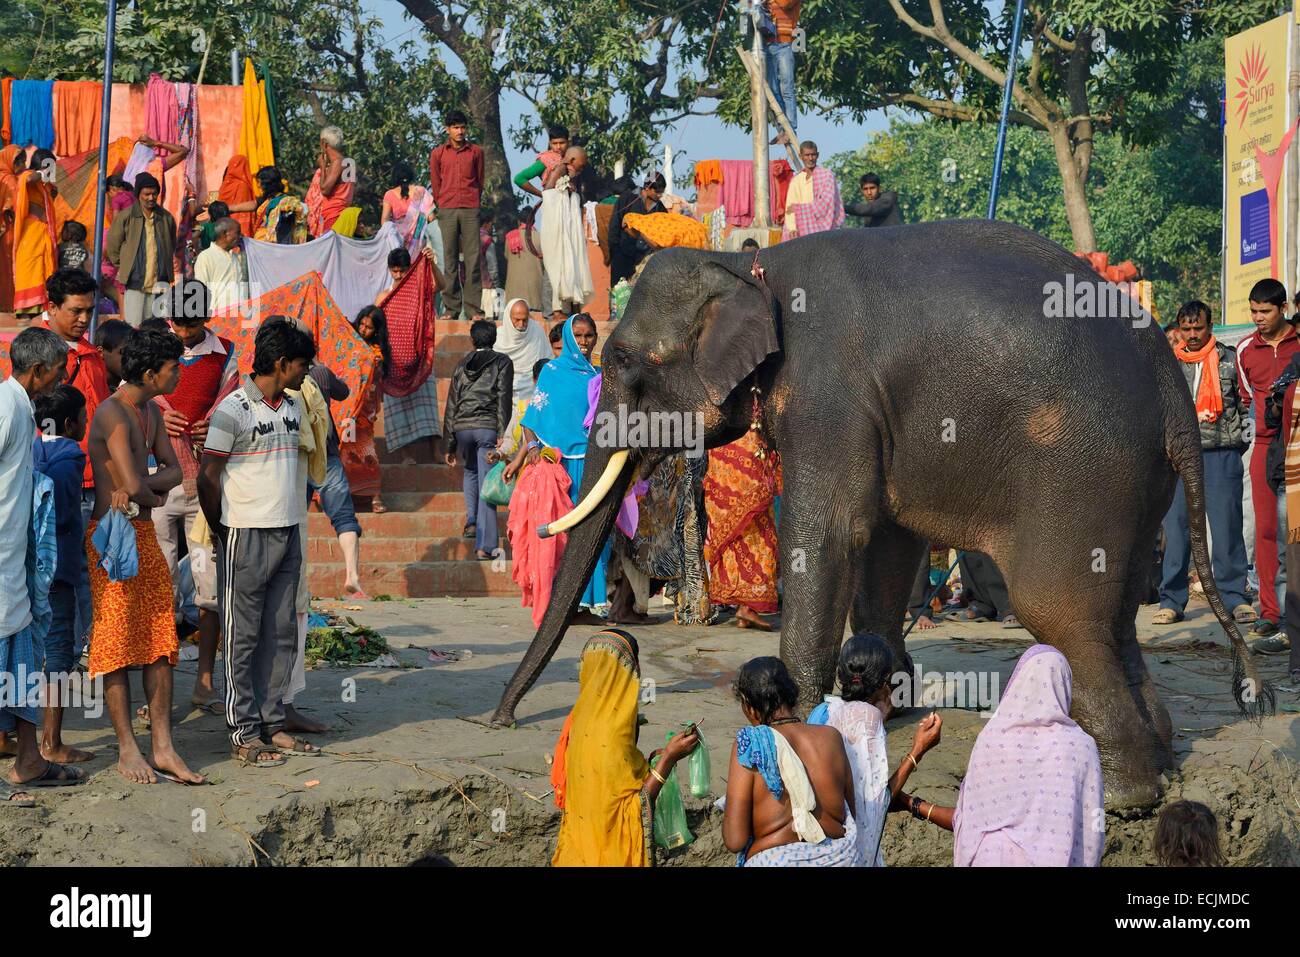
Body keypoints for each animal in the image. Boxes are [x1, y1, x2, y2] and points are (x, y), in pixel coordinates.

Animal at [490, 219, 1272, 809]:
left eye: (622, 358)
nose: (501, 717)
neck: (749, 266)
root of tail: (1170, 373)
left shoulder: (828, 388)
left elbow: (830, 532)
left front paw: (797, 715)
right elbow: (888, 541)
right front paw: (882, 700)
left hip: (1085, 466)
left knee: (1059, 609)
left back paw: (1126, 795)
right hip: (1139, 485)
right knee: (1116, 616)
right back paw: (1162, 766)